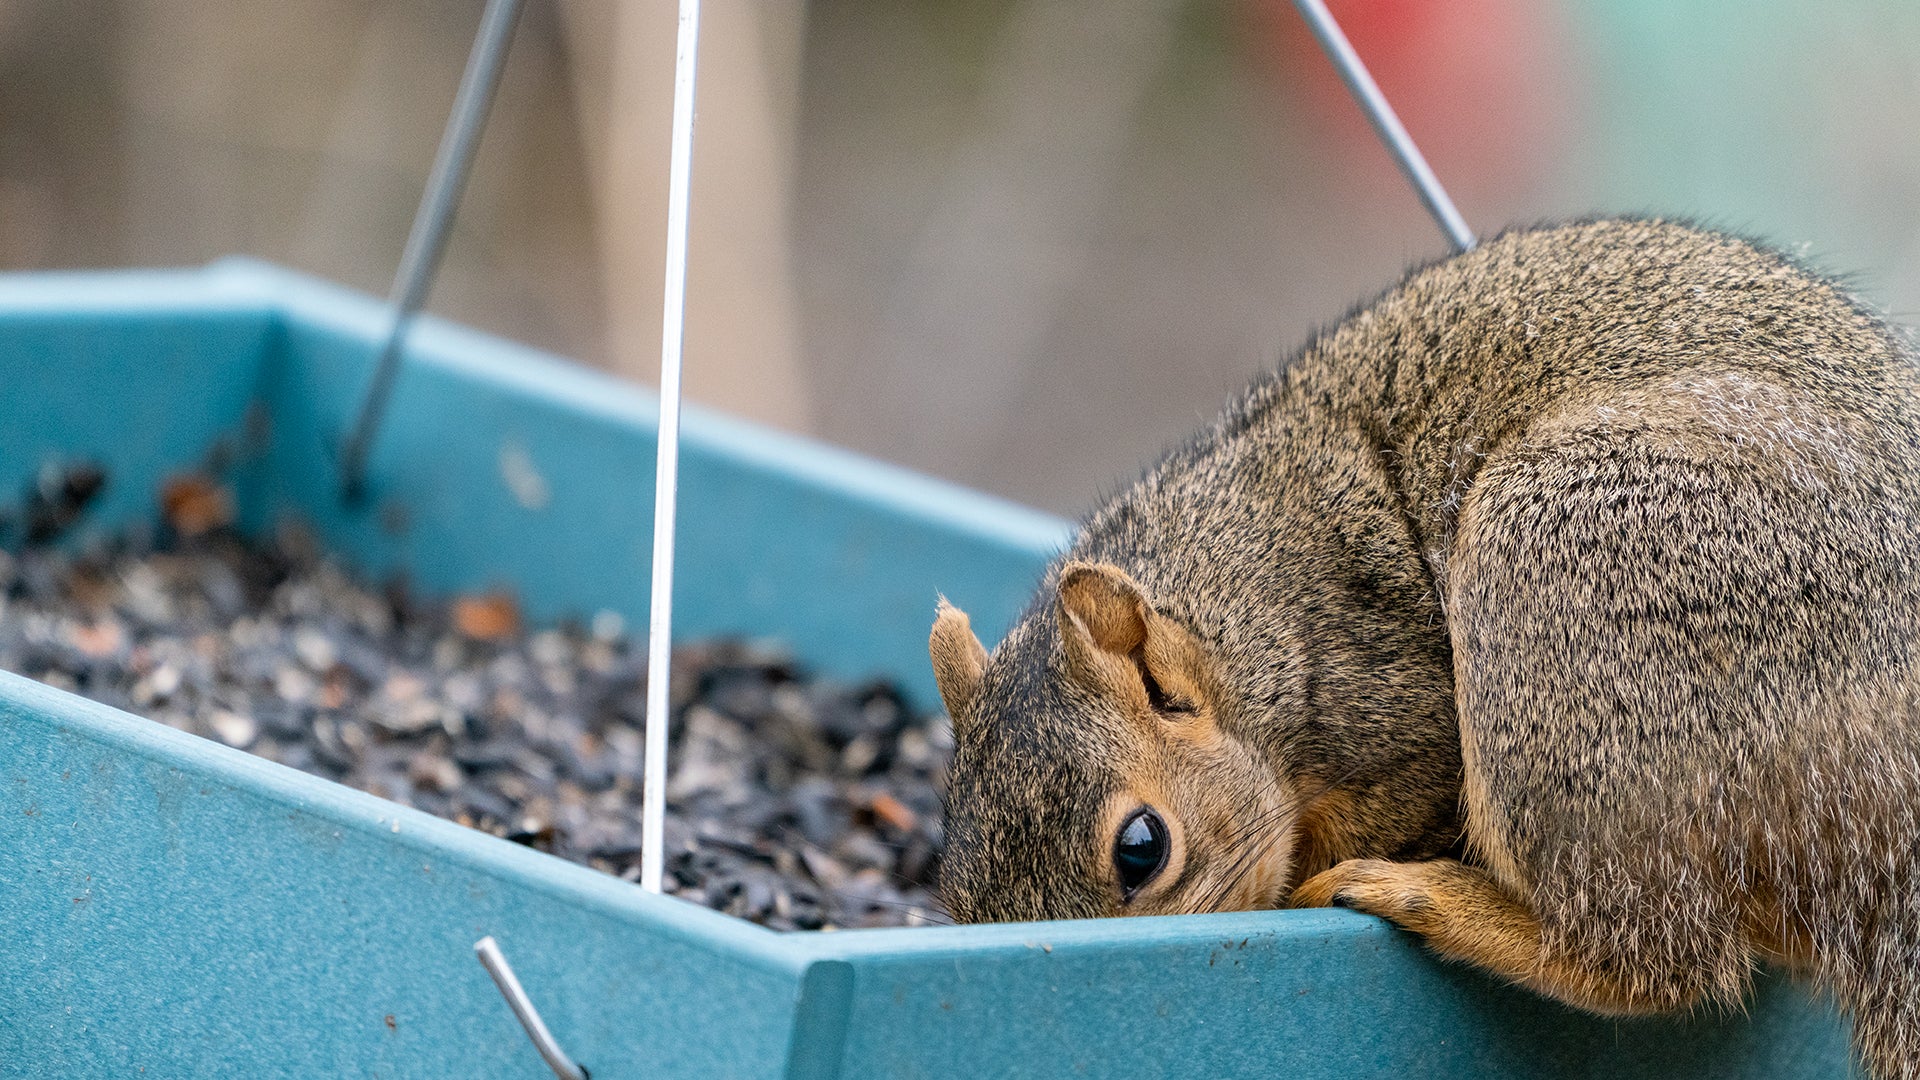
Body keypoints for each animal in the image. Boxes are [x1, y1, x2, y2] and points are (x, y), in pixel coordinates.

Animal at [928, 218, 1920, 1078]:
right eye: (955, 886)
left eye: (1142, 849)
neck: (1250, 613)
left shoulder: (1391, 698)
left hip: (1568, 589)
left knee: (1660, 955)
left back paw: (1432, 900)